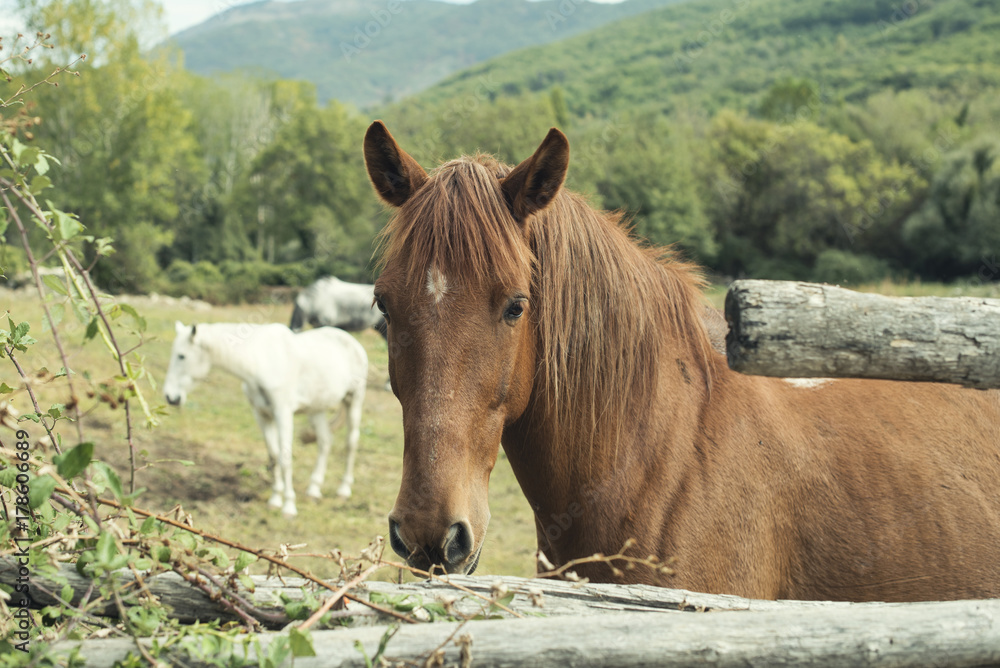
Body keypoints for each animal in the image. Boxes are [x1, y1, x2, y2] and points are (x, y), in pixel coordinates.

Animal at [163, 321, 368, 517]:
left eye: (181, 356)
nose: (170, 397)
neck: (261, 363)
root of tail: (352, 342)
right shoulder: (262, 415)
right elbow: (273, 456)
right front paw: (275, 500)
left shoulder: (283, 413)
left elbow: (285, 458)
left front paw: (289, 507)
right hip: (317, 409)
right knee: (325, 442)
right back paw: (313, 489)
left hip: (354, 400)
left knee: (351, 442)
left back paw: (343, 490)